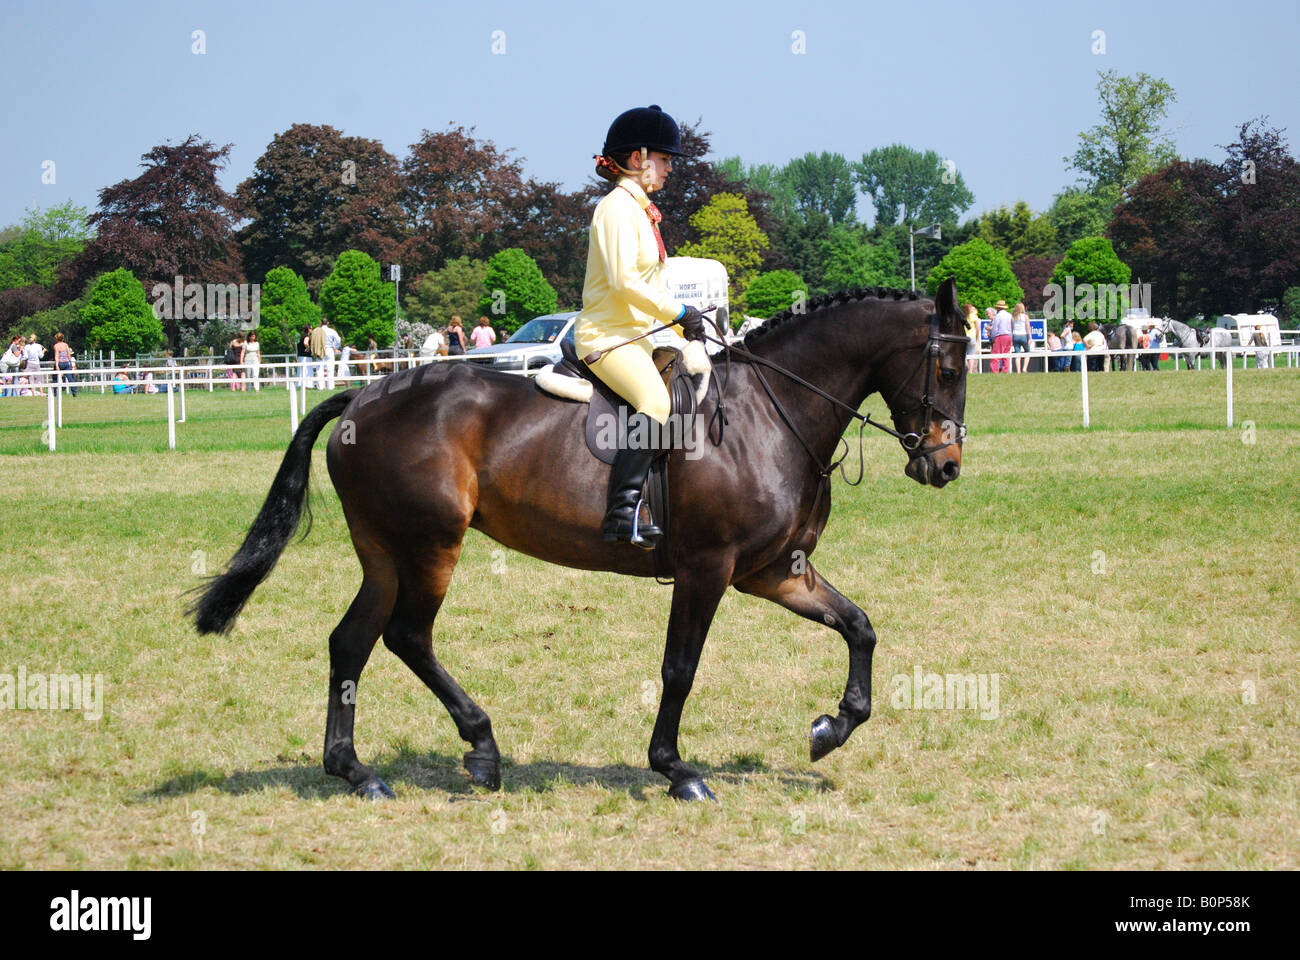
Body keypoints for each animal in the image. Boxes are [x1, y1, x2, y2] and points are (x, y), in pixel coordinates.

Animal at [190, 280, 970, 802]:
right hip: (431, 547)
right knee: (407, 636)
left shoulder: (776, 569)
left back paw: (356, 771)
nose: (946, 466)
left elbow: (860, 627)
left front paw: (832, 728)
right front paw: (676, 769)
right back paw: (481, 749)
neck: (769, 415)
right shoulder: (708, 569)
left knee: (351, 642)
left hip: (386, 553)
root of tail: (363, 395)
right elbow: (680, 668)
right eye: (948, 368)